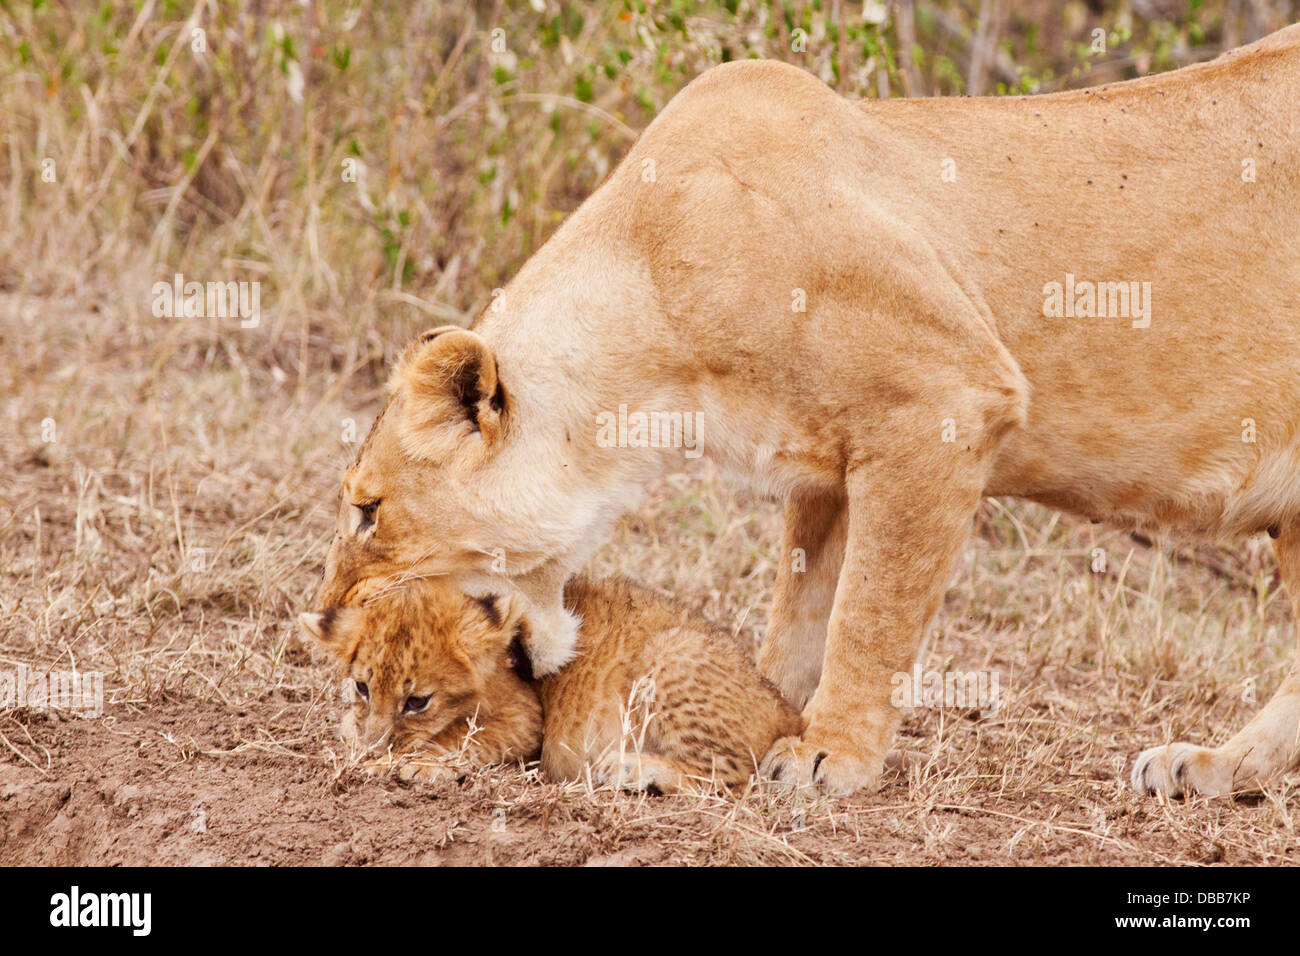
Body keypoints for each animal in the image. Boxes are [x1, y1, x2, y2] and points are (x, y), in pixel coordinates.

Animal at [298, 576, 803, 792]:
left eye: (418, 701)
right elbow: (351, 725)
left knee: (731, 778)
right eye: (363, 688)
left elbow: (459, 738)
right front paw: (363, 747)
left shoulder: (527, 719)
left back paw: (630, 769)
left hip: (672, 654)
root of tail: (785, 705)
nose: (373, 749)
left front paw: (407, 764)